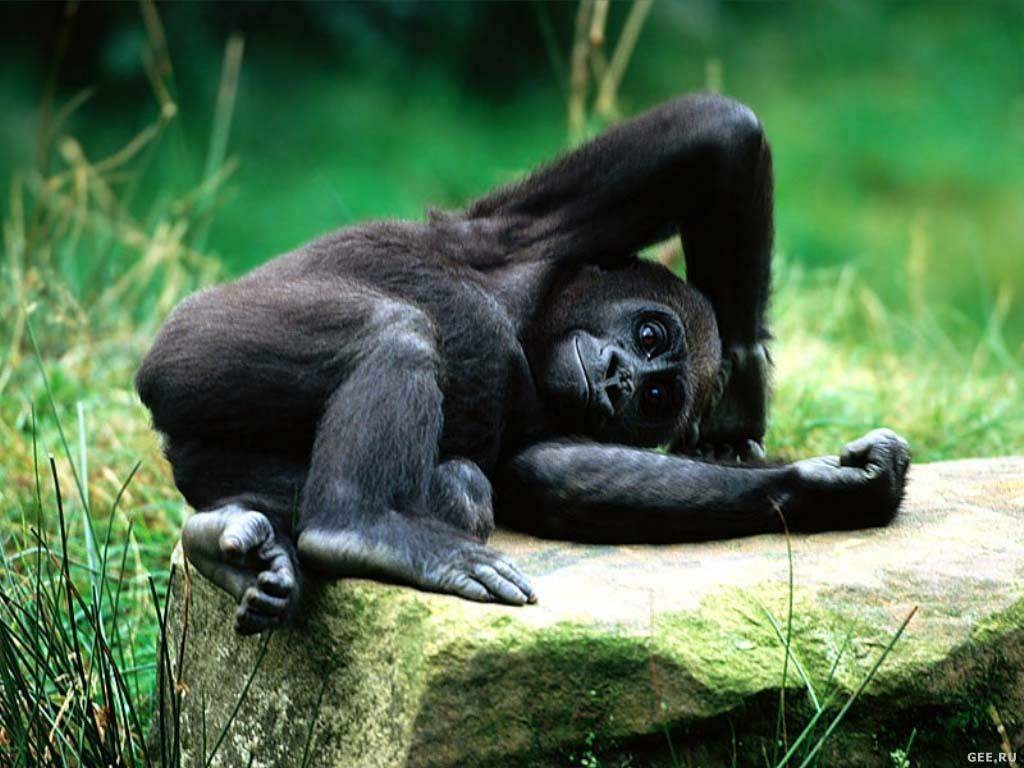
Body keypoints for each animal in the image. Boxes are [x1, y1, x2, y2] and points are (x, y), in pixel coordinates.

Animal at [136, 94, 910, 634]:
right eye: (649, 335)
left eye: (657, 399)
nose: (621, 379)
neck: (535, 324)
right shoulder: (532, 234)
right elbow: (716, 134)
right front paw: (742, 386)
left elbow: (555, 473)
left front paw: (831, 487)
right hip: (185, 347)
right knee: (396, 333)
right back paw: (354, 529)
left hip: (209, 459)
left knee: (458, 487)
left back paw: (238, 546)